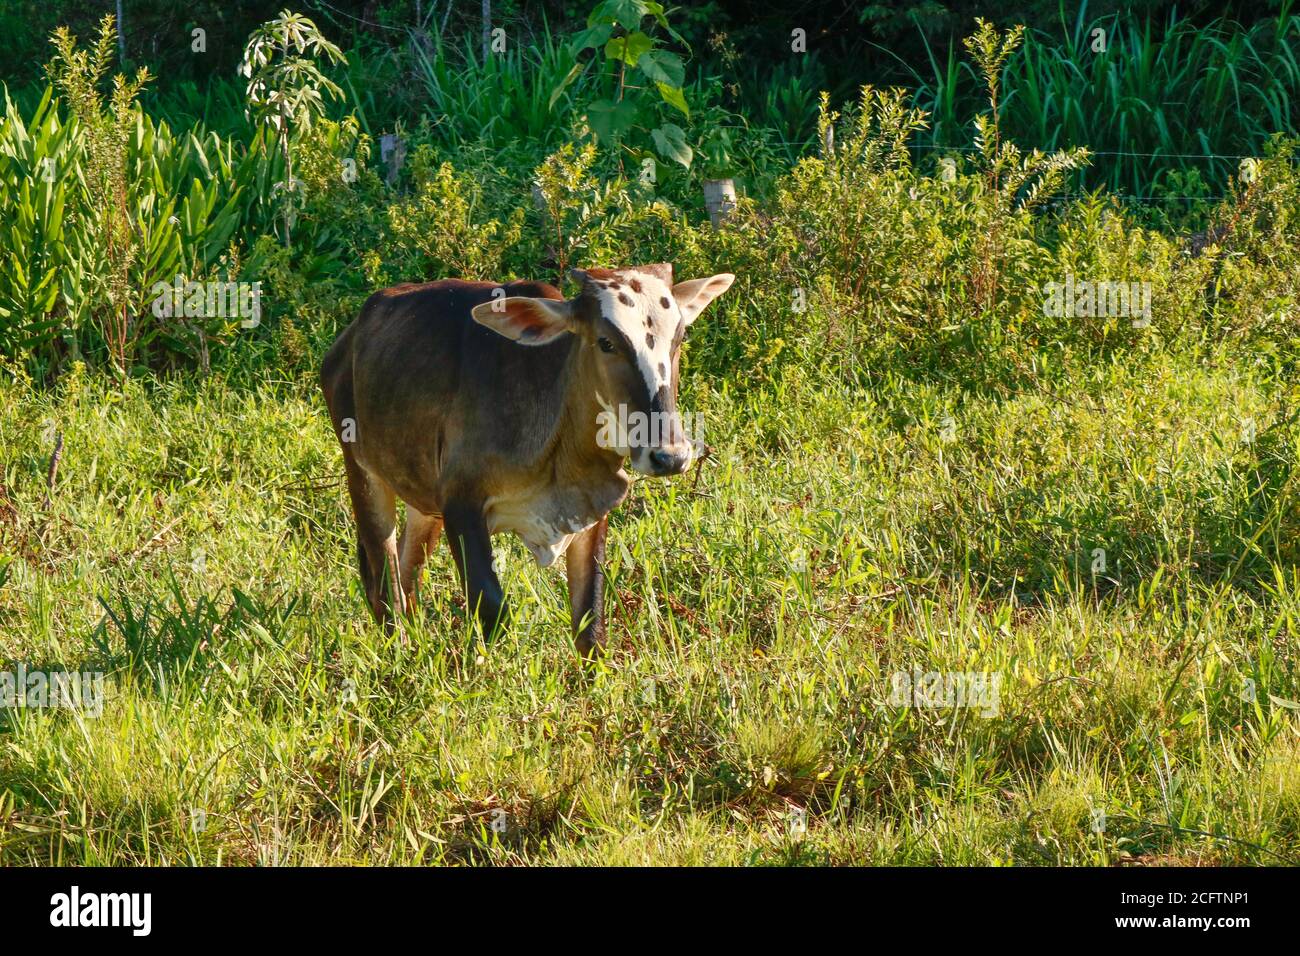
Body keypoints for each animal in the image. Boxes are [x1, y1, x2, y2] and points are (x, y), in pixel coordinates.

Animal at [319, 263, 734, 657]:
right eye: (605, 342)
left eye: (679, 338)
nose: (670, 456)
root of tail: (350, 336)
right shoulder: (461, 505)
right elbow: (492, 610)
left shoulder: (592, 511)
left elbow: (591, 624)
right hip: (363, 473)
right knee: (385, 586)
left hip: (422, 500)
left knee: (407, 575)